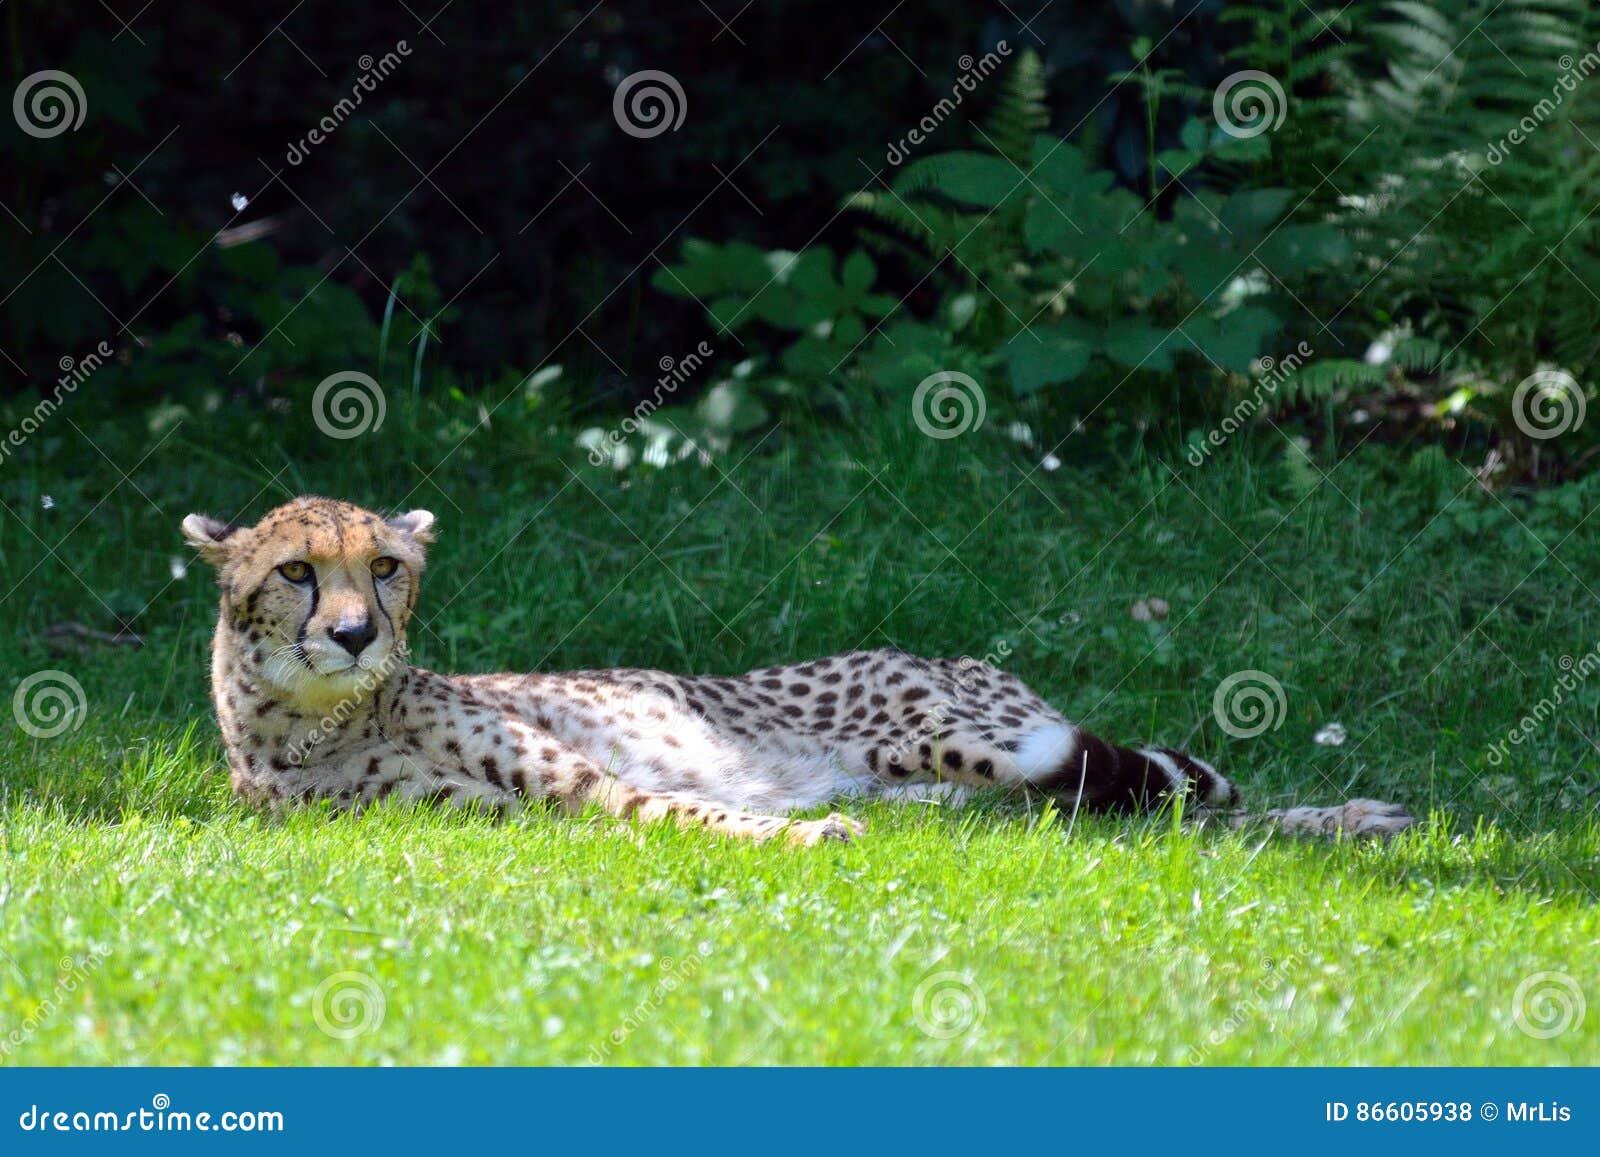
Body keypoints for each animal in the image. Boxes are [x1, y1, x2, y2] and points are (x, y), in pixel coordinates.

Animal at [181, 496, 1416, 845]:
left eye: (385, 568)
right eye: (297, 571)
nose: (355, 633)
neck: (326, 715)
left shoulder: (568, 781)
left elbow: (670, 806)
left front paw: (797, 834)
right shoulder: (487, 812)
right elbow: (667, 811)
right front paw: (804, 832)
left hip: (952, 730)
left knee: (1183, 800)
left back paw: (1359, 815)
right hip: (975, 780)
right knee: (1137, 811)